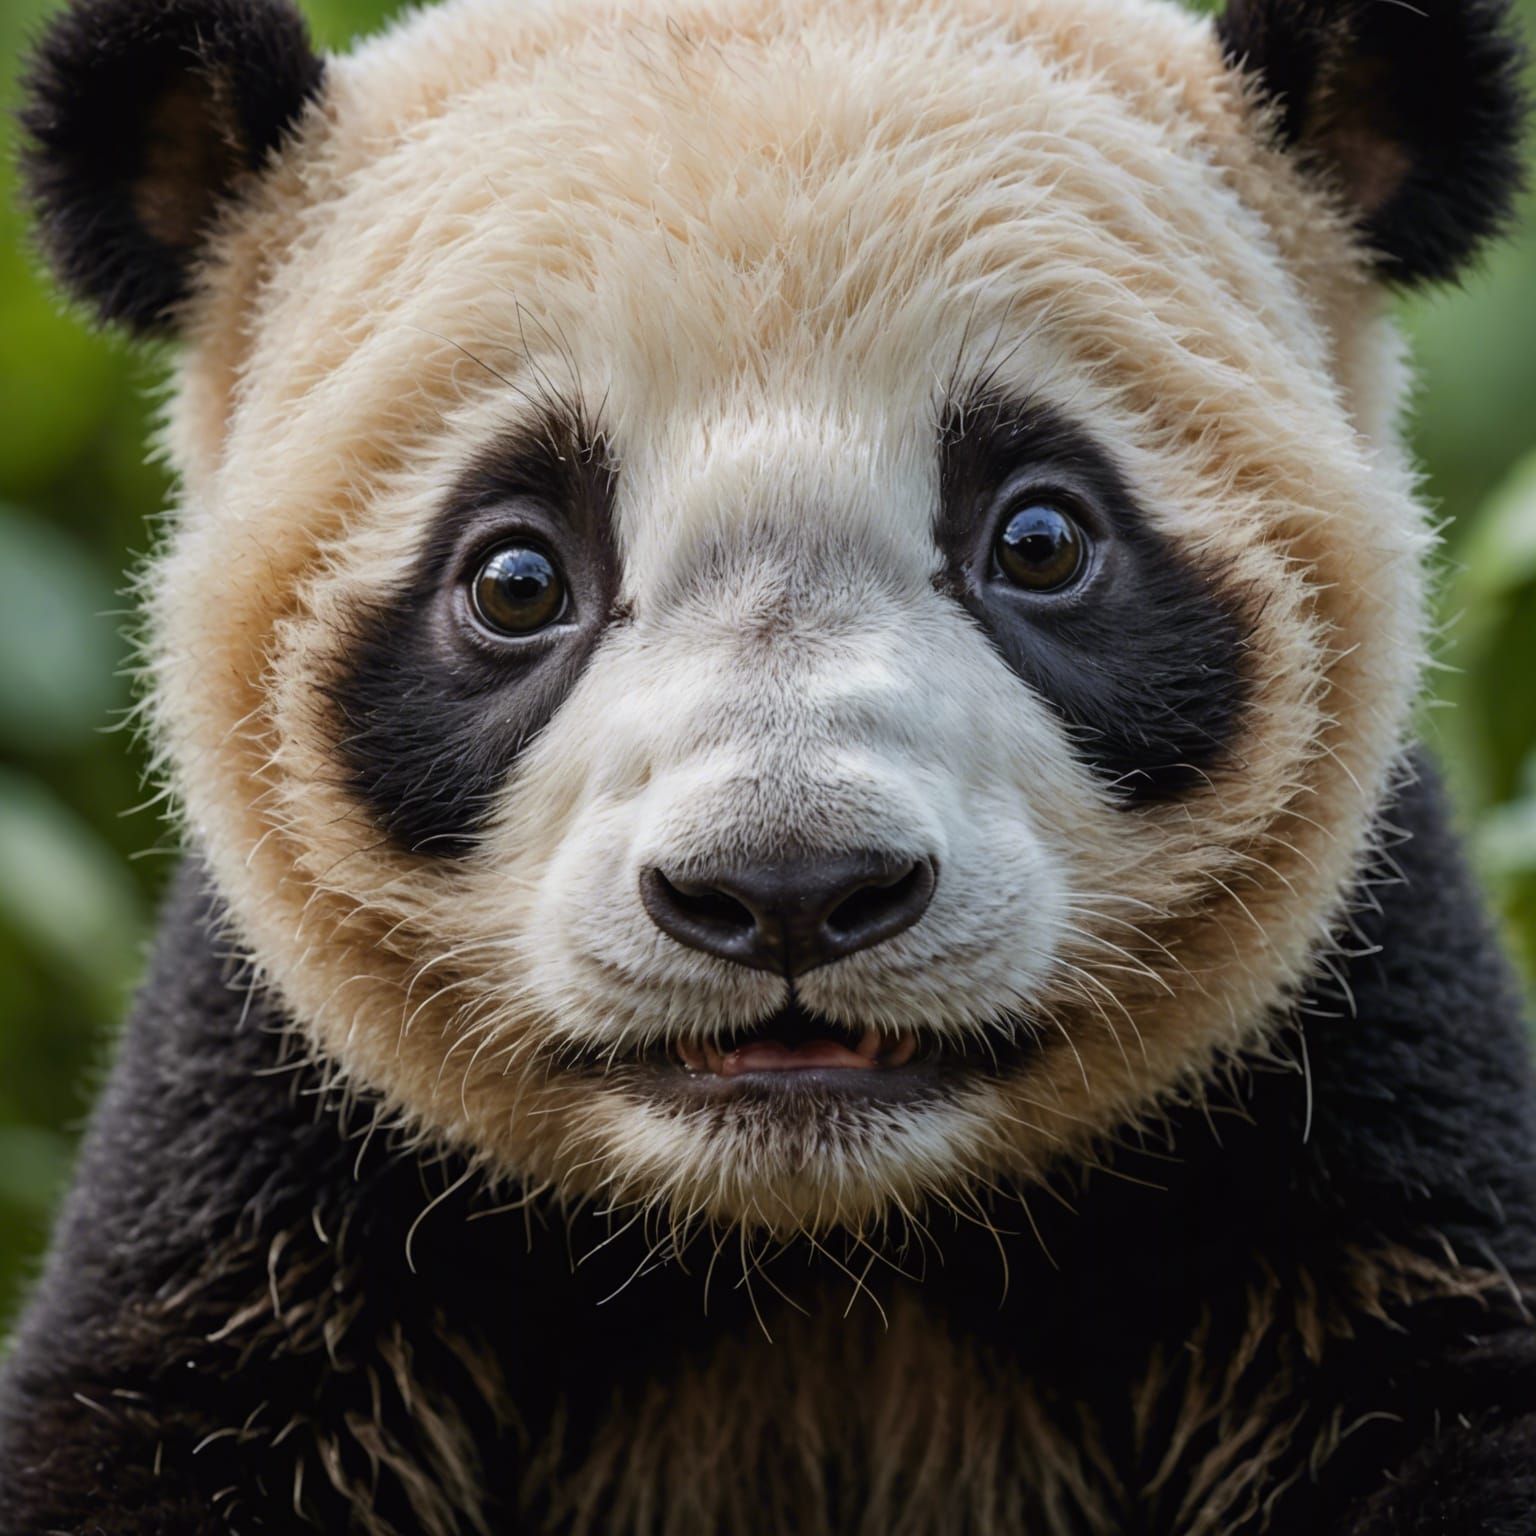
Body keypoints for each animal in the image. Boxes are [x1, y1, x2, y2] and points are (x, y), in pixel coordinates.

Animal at [4, 0, 1536, 1528]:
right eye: (515, 578)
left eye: (1041, 539)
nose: (790, 888)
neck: (804, 1247)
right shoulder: (268, 1167)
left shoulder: (1352, 1091)